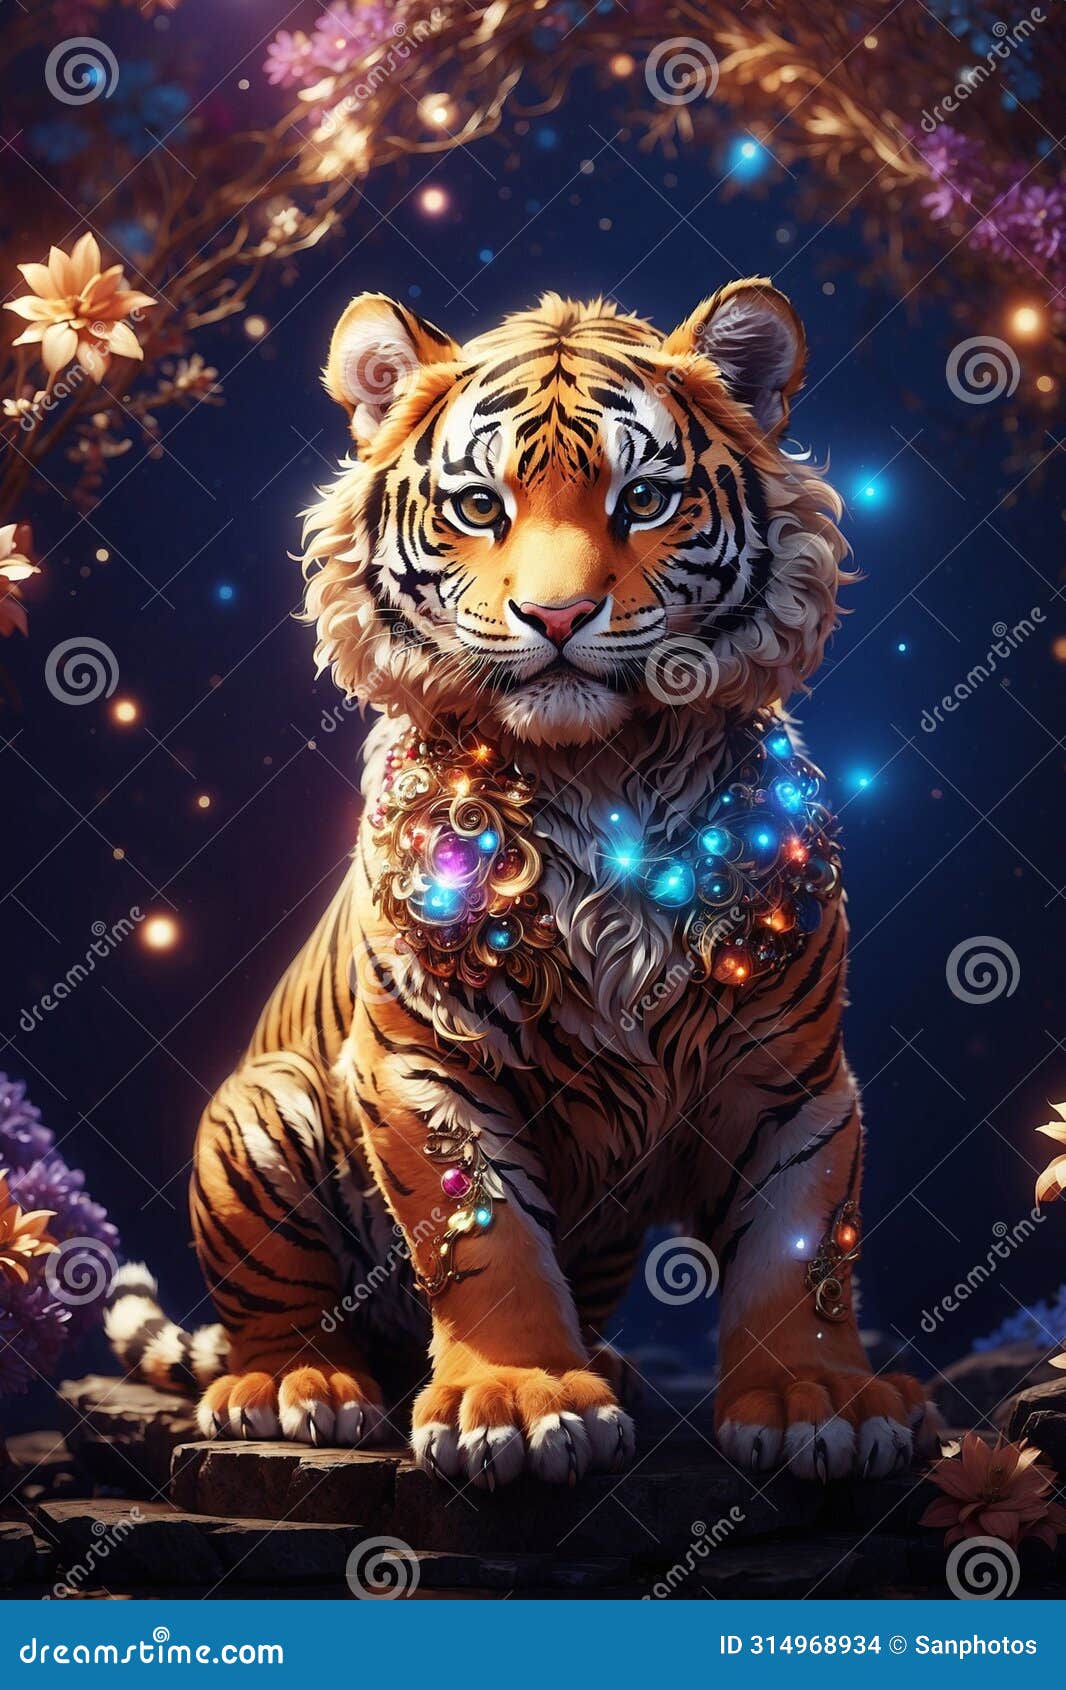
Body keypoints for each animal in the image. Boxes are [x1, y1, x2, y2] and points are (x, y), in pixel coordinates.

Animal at [107, 281, 941, 1489]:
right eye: (476, 504)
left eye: (643, 498)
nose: (555, 618)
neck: (599, 775)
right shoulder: (425, 1062)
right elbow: (486, 1236)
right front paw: (515, 1400)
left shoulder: (793, 1073)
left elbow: (800, 1241)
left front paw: (814, 1398)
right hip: (263, 1105)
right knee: (283, 1313)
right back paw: (294, 1389)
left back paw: (615, 1366)